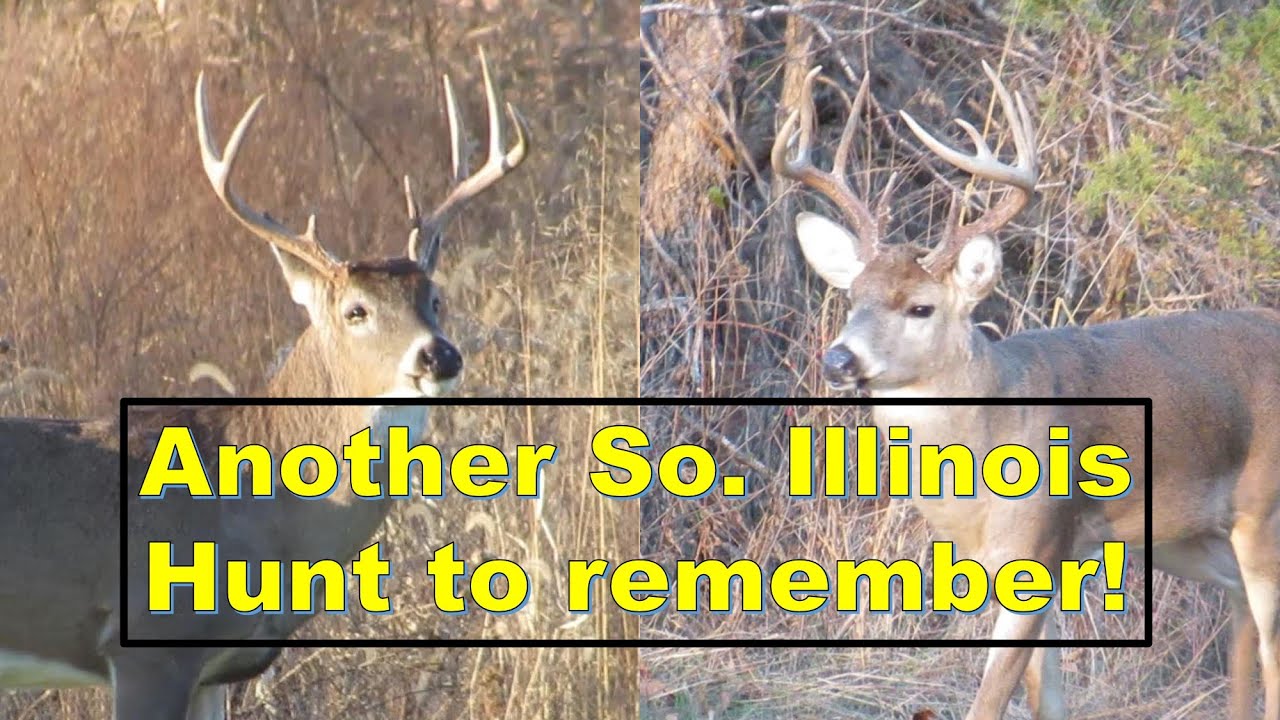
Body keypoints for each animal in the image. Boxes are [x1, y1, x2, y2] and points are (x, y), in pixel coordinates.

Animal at [0, 47, 528, 719]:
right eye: (356, 310)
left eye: (436, 299)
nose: (440, 355)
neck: (254, 508)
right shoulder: (149, 641)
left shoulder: (216, 670)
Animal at [772, 61, 1280, 720]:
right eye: (853, 298)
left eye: (920, 307)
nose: (838, 359)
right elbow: (1047, 698)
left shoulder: (1035, 540)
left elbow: (991, 697)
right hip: (1185, 535)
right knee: (1240, 612)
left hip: (1264, 512)